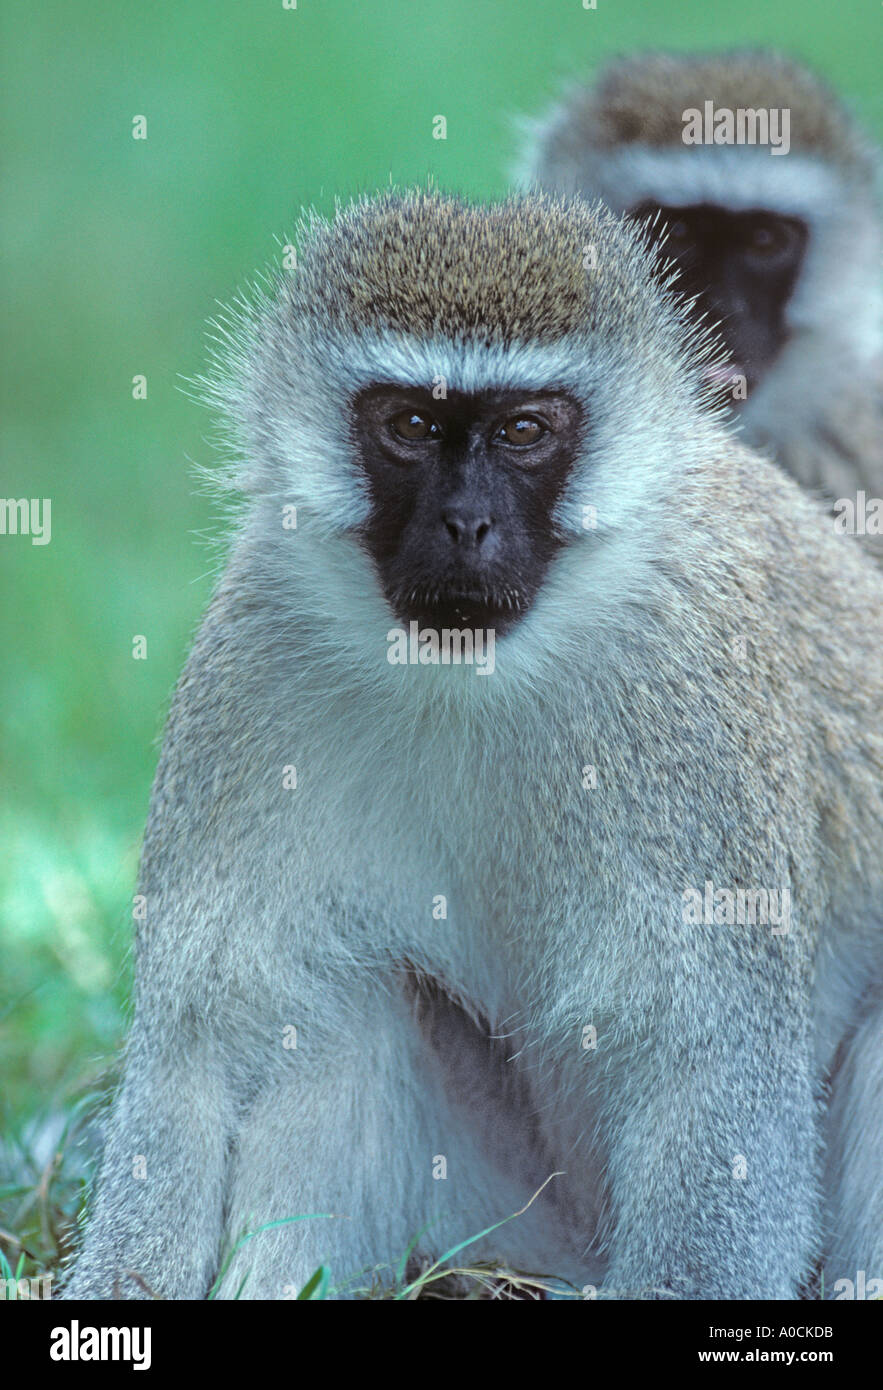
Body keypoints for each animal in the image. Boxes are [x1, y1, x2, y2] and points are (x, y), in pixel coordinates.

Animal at [64, 190, 883, 1301]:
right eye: (412, 425)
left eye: (523, 430)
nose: (465, 524)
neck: (471, 674)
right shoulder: (249, 665)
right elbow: (194, 1053)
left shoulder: (695, 716)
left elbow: (719, 1091)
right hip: (512, 1226)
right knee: (349, 998)